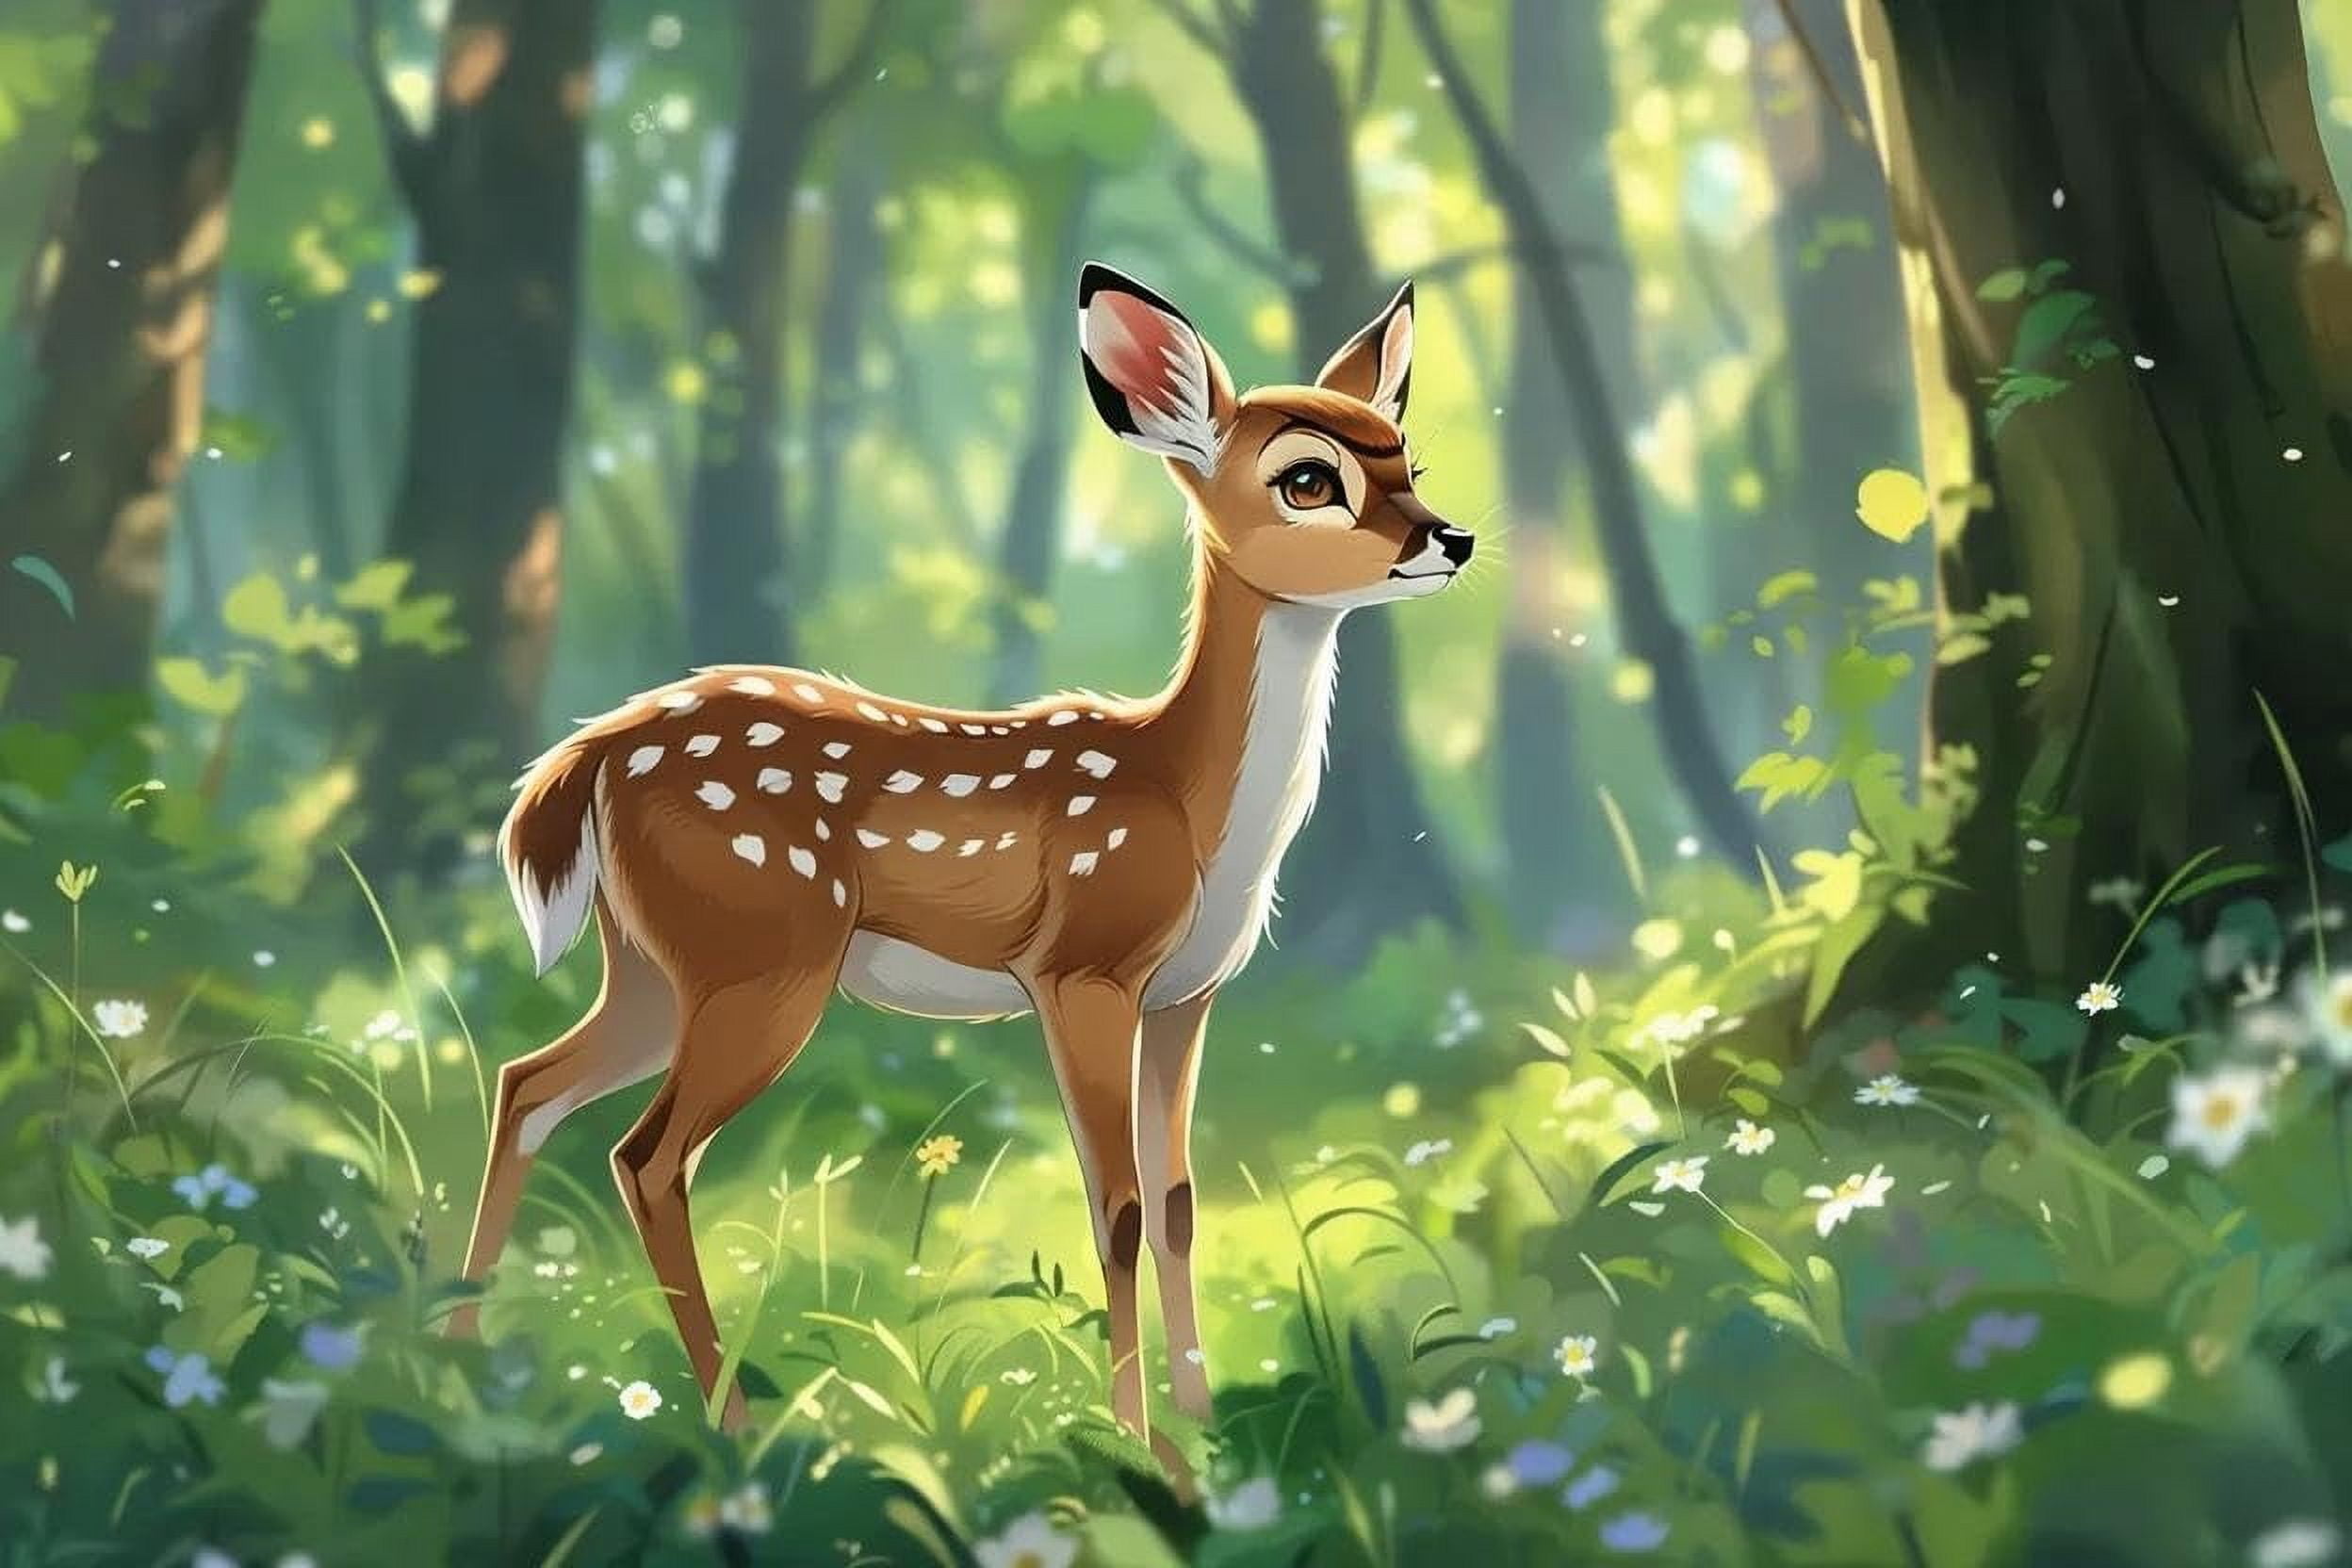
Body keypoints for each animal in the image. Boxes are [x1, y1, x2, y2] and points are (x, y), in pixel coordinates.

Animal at [451, 264, 1473, 1453]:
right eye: (1310, 478)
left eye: (1407, 459)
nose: (1452, 538)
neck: (1194, 804)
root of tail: (592, 754)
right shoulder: (1083, 966)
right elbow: (1117, 1206)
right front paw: (1138, 1443)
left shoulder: (1189, 992)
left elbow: (1179, 1204)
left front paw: (1205, 1423)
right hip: (761, 954)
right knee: (647, 1155)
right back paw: (736, 1422)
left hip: (660, 966)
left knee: (528, 1084)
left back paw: (456, 1356)